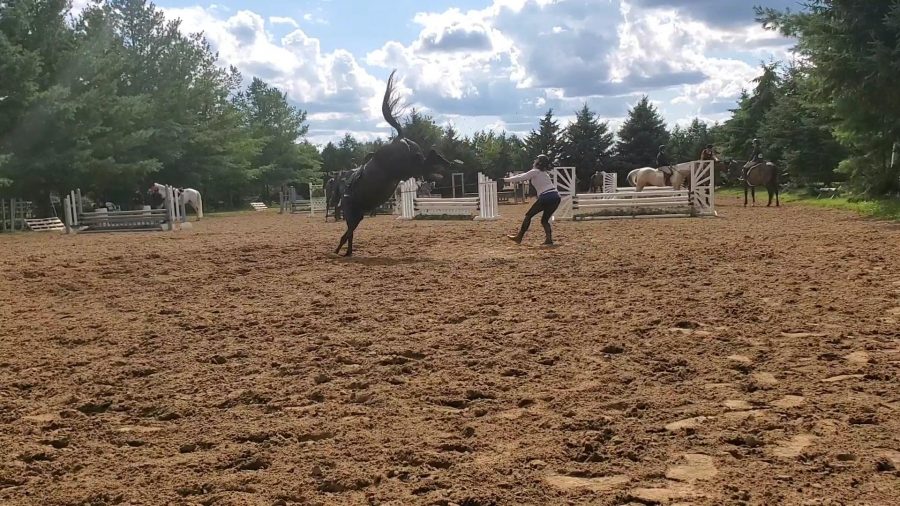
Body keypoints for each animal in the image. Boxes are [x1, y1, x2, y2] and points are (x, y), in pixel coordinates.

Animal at [334, 70, 452, 257]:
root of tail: (399, 138)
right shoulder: (357, 216)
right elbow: (350, 233)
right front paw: (347, 252)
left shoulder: (353, 216)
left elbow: (347, 234)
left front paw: (340, 250)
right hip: (409, 168)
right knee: (428, 162)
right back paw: (443, 168)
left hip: (406, 169)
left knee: (426, 164)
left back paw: (442, 168)